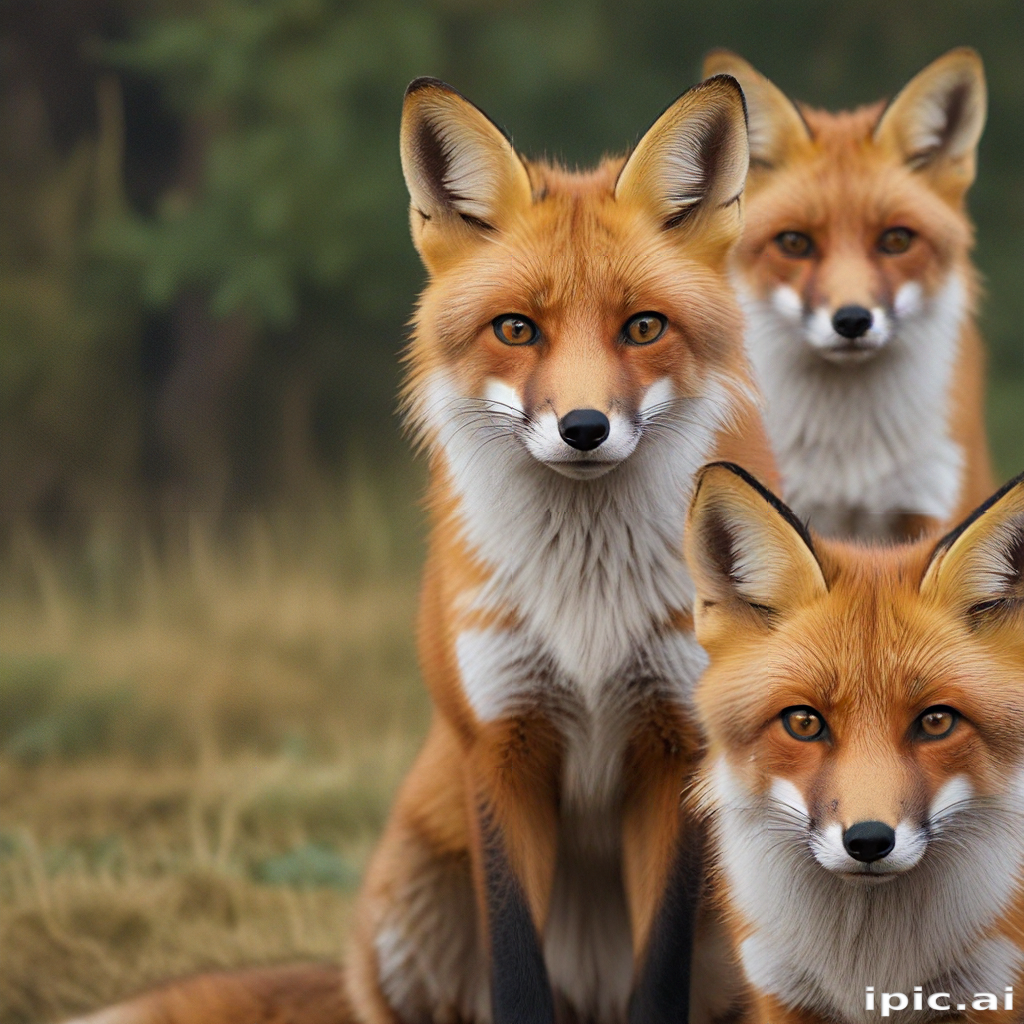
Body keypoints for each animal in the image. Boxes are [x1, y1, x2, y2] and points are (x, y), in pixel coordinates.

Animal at [65, 76, 776, 1024]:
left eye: (642, 327)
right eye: (516, 330)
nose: (584, 429)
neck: (586, 601)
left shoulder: (674, 749)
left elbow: (656, 983)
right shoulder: (500, 745)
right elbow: (516, 977)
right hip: (410, 909)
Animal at [683, 461, 1024, 1024]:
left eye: (936, 722)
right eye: (803, 722)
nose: (867, 842)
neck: (867, 970)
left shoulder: (992, 987)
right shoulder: (782, 990)